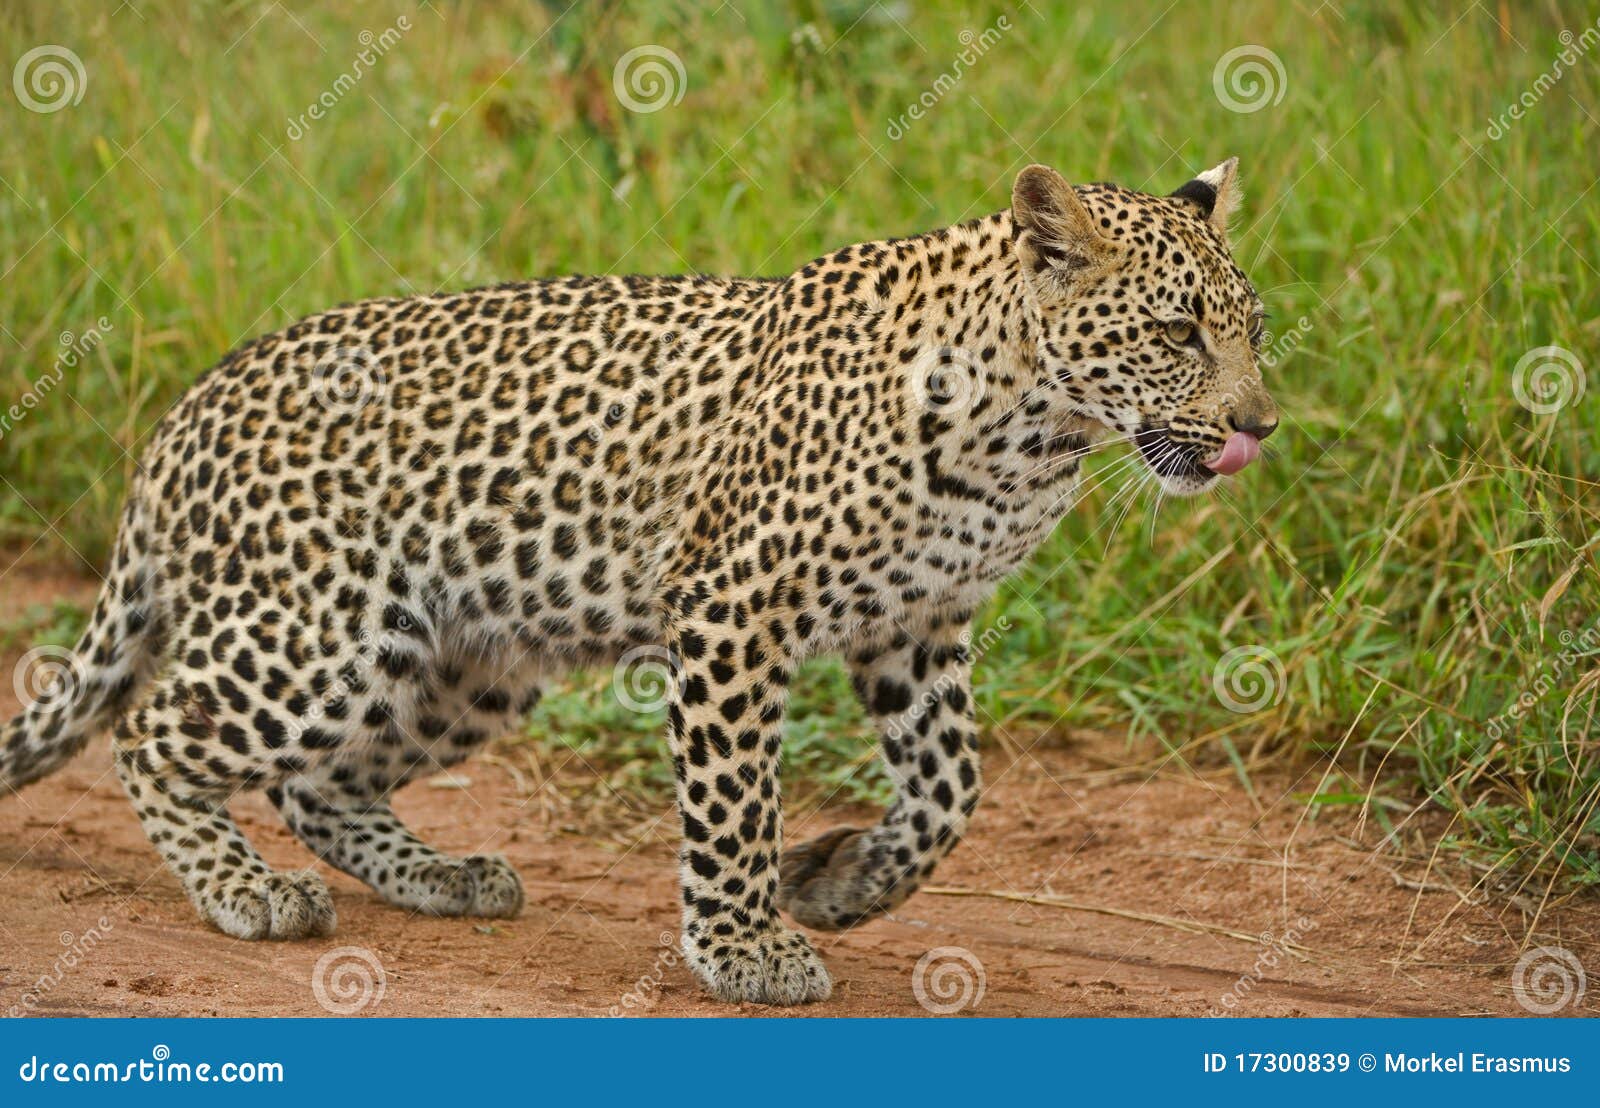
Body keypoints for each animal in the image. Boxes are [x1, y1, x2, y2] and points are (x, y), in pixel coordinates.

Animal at [0, 159, 1278, 1006]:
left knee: (320, 782)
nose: (1260, 425)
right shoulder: (735, 607)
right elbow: (734, 798)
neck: (1033, 435)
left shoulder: (919, 623)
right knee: (151, 731)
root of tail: (188, 409)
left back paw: (441, 876)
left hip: (467, 658)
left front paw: (842, 883)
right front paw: (747, 944)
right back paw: (244, 889)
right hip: (319, 635)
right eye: (1177, 331)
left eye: (1255, 329)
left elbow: (951, 789)